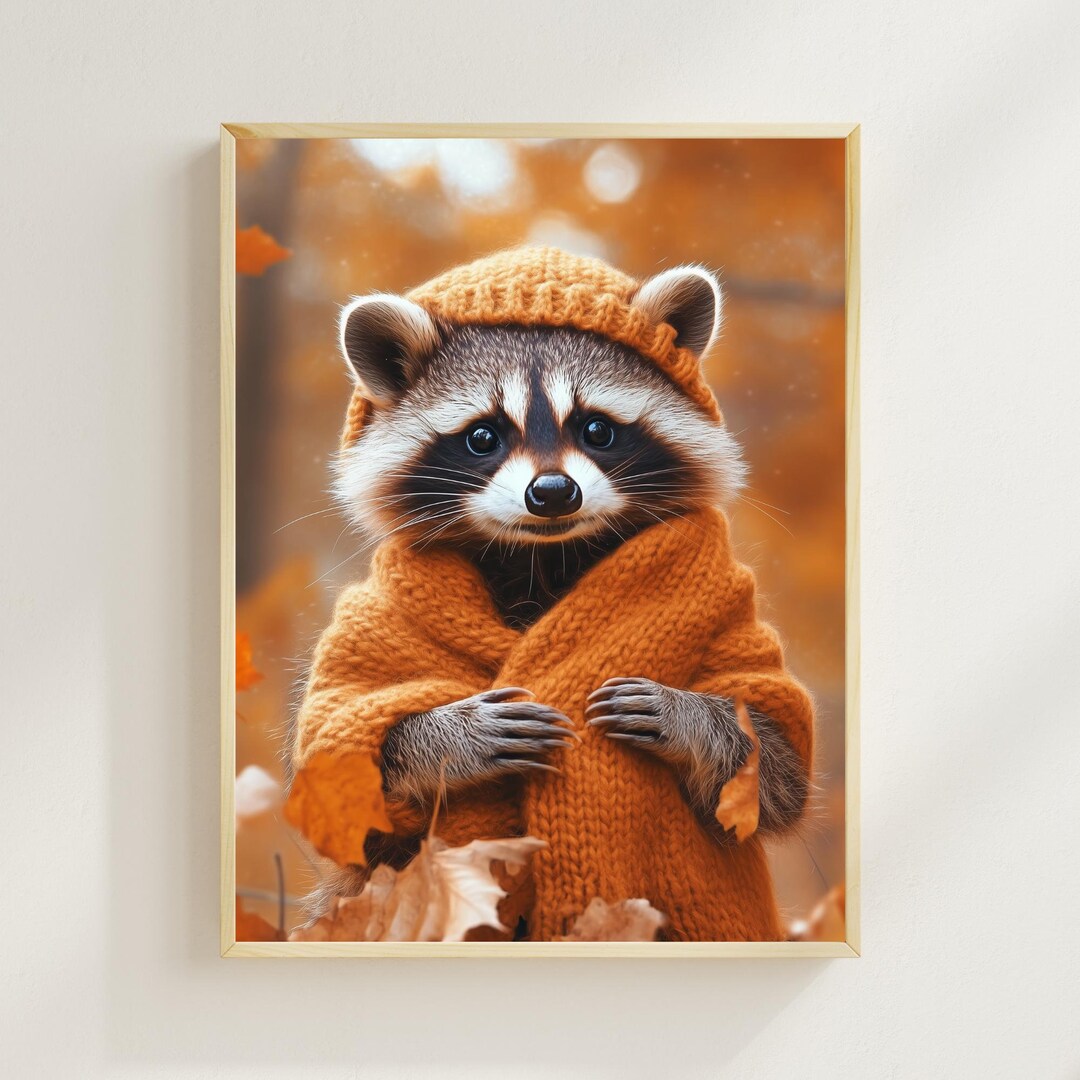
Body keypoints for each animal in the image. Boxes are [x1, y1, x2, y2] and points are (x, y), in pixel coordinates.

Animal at [330, 264, 809, 842]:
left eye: (596, 428)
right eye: (483, 436)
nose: (554, 492)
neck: (543, 554)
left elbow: (771, 768)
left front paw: (685, 712)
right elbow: (338, 772)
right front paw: (454, 730)